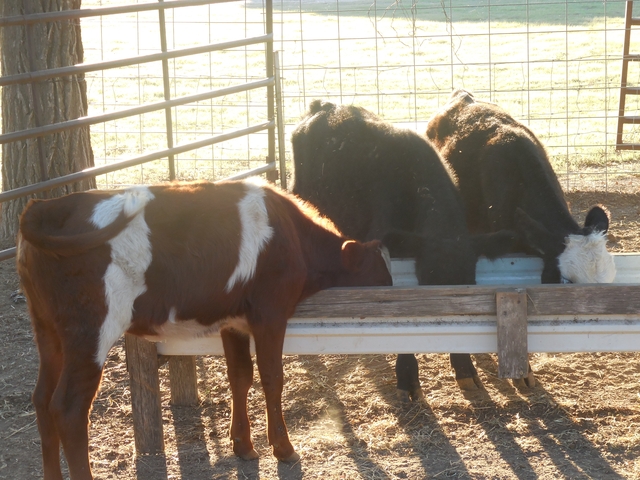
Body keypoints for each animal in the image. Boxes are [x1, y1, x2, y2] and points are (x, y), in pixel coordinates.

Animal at [16, 178, 392, 480]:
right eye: (379, 276)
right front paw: (283, 448)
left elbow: (240, 375)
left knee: (41, 398)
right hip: (89, 333)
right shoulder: (270, 314)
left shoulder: (233, 321)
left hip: (48, 331)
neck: (291, 235)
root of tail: (48, 205)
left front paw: (243, 445)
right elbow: (272, 376)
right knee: (68, 408)